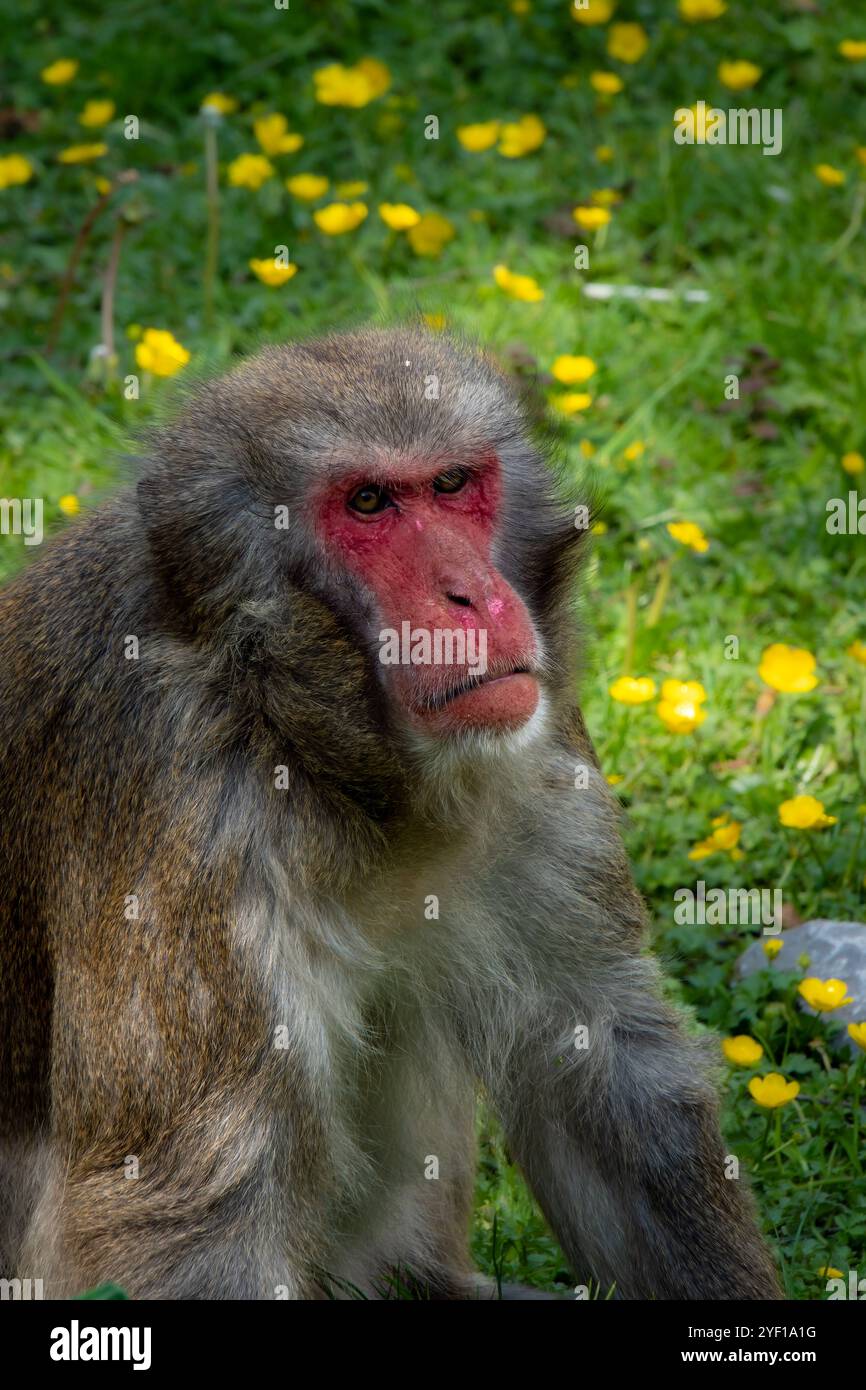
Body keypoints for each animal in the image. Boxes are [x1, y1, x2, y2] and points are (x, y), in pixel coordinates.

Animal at [0, 327, 781, 1300]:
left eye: (451, 484)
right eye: (368, 502)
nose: (471, 594)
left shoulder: (539, 746)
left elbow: (609, 1066)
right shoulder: (178, 801)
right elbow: (193, 1216)